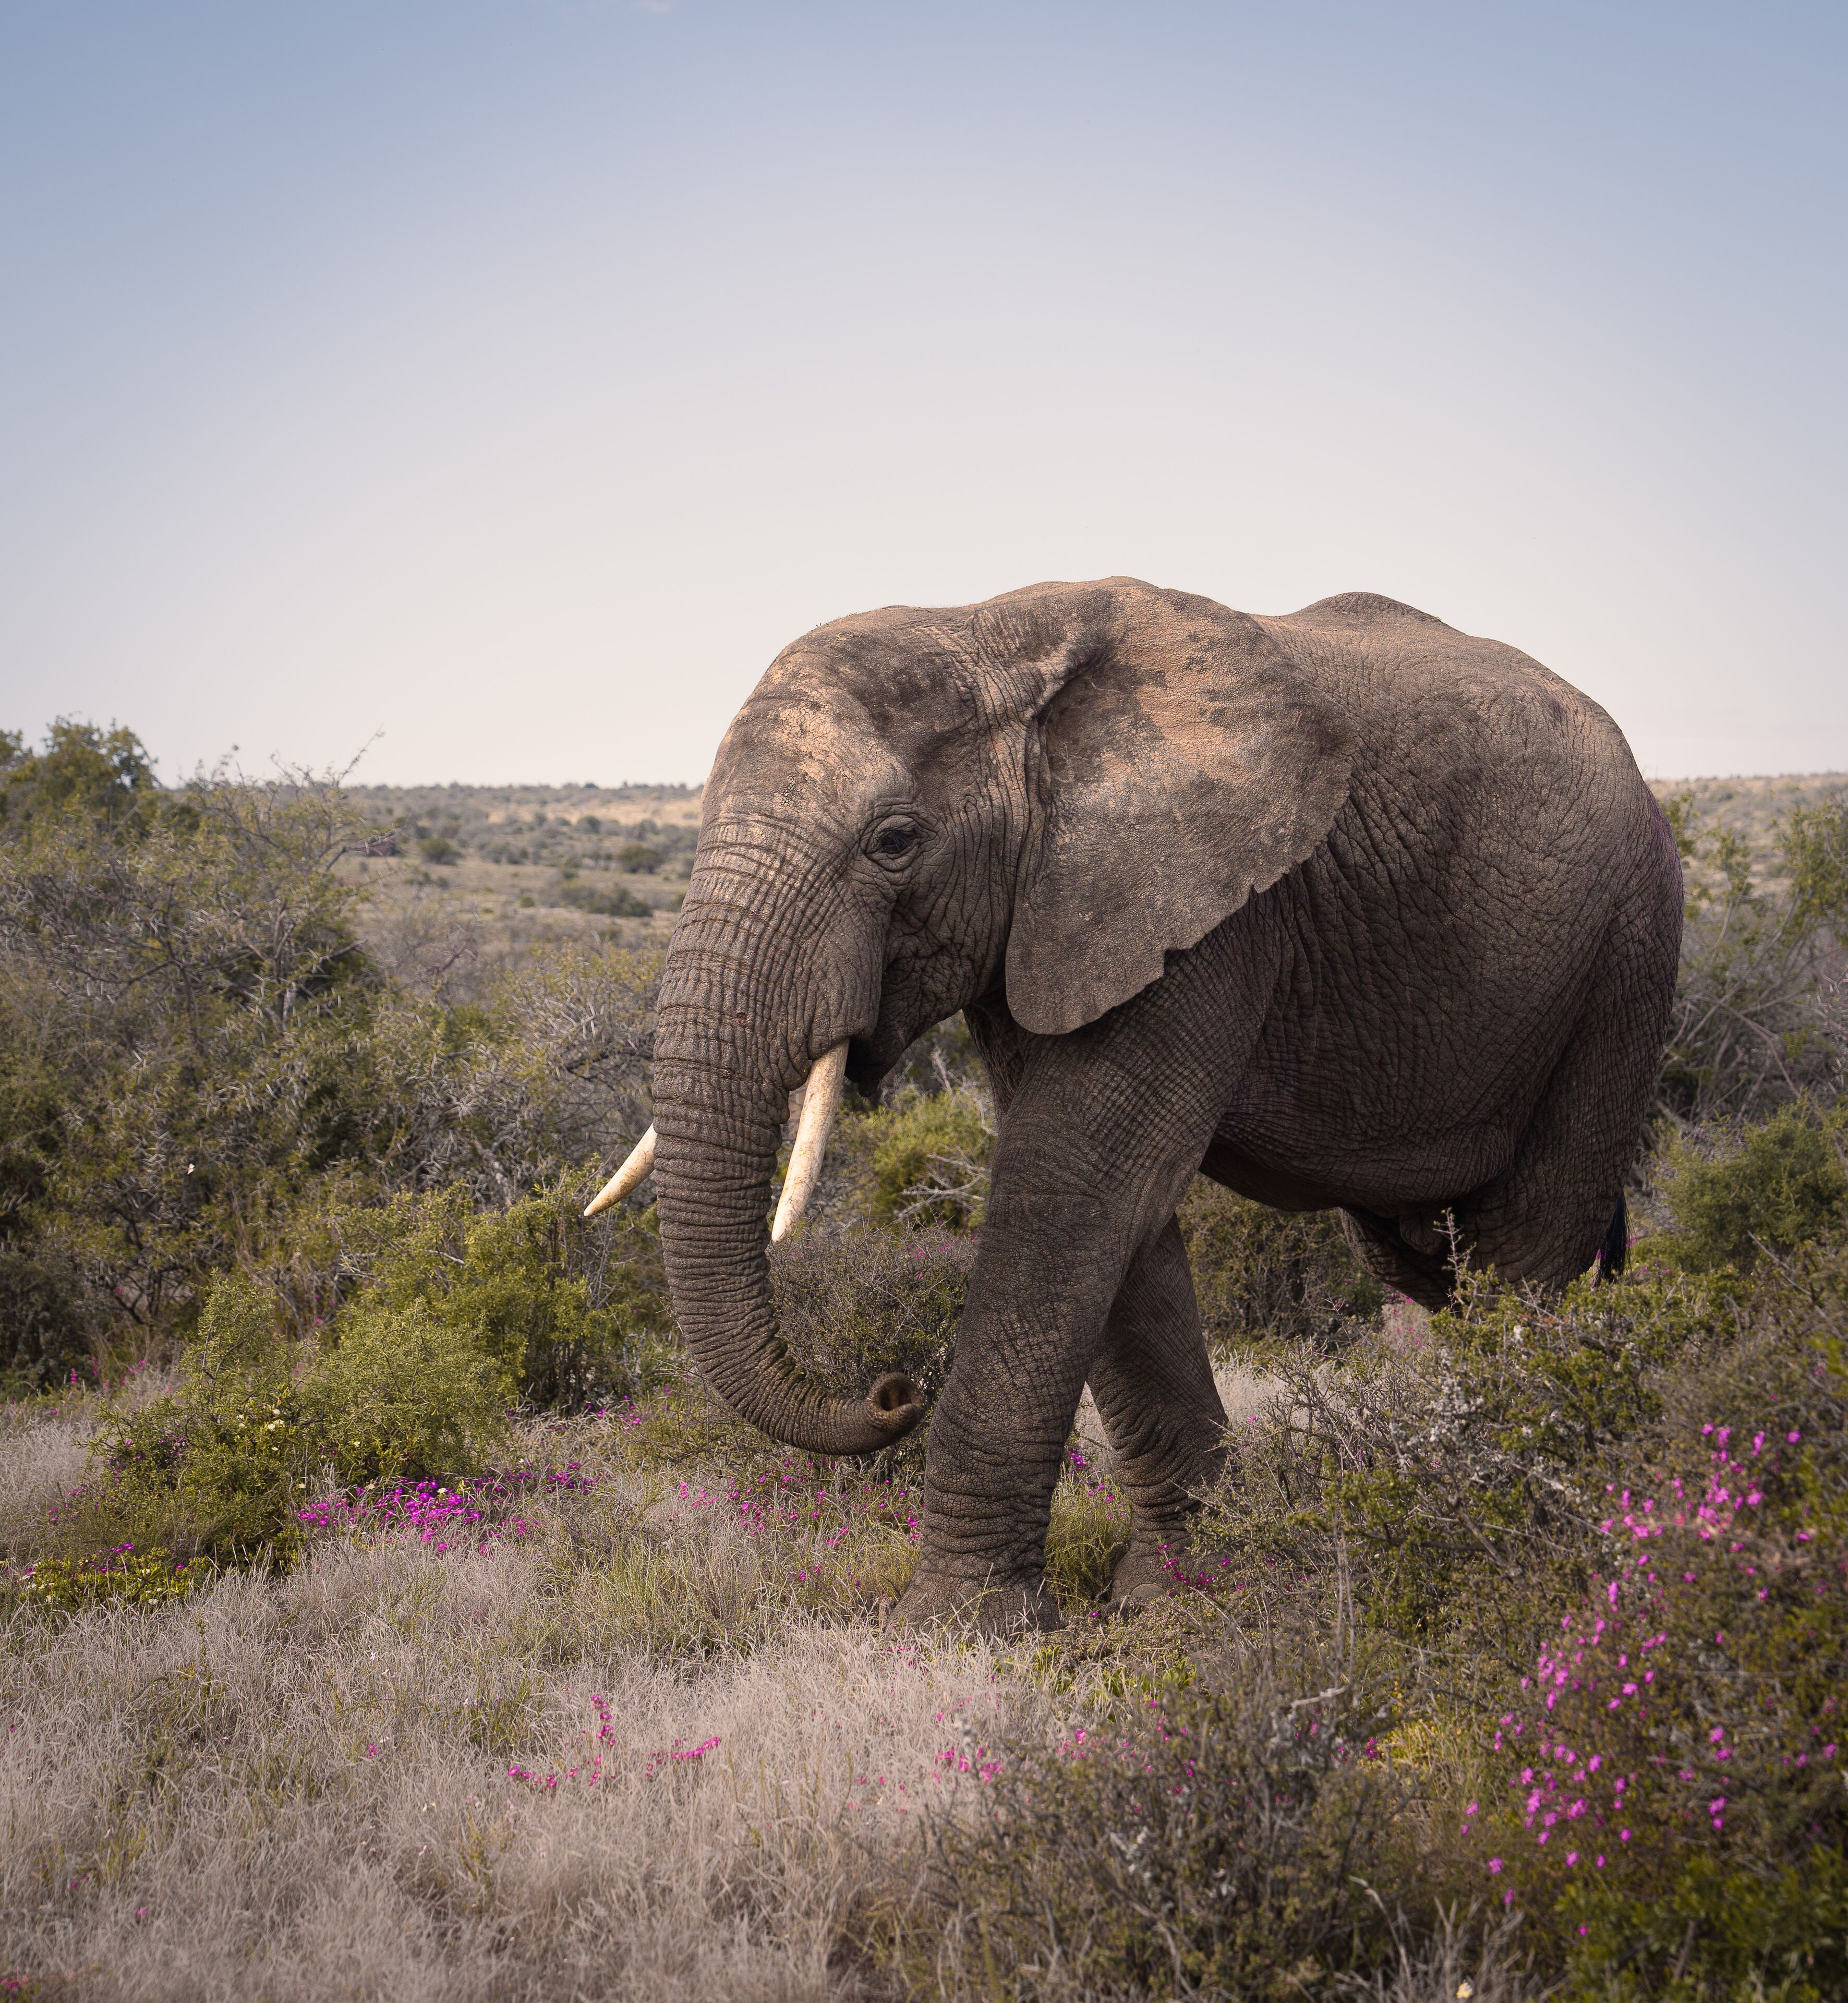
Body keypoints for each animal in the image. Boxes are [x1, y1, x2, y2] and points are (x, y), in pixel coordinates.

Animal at [589, 578, 1683, 1630]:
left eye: (892, 841)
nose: (892, 1389)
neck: (986, 633)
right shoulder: (1051, 920)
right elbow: (1124, 1217)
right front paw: (1182, 1595)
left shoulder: (1211, 912)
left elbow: (1077, 1183)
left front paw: (954, 1629)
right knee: (1420, 1255)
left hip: (1626, 951)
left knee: (1527, 1244)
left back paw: (1493, 1503)